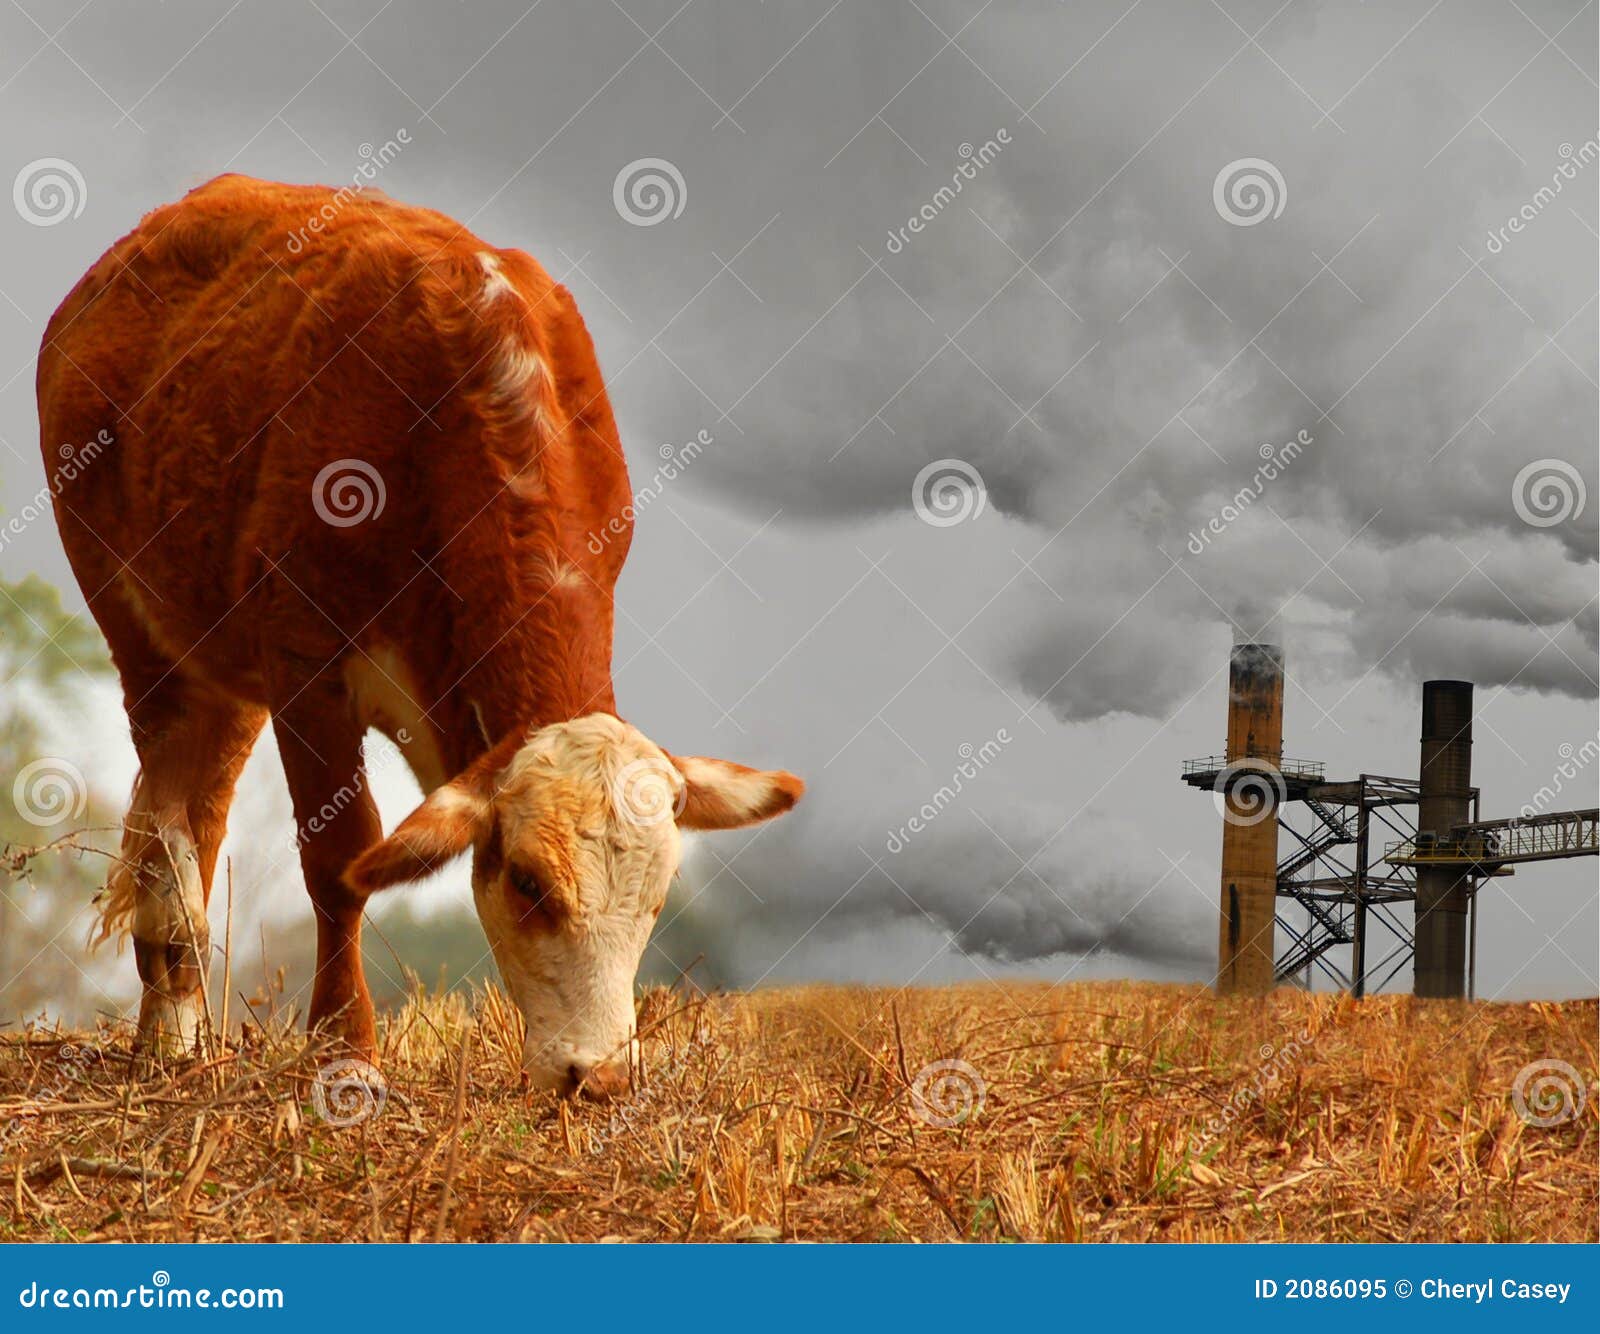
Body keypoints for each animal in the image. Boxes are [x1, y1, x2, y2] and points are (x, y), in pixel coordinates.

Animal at [36, 174, 803, 1099]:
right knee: (171, 807)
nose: (599, 1078)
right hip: (143, 636)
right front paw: (346, 1052)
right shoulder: (305, 664)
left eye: (656, 895)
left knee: (202, 801)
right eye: (529, 883)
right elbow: (339, 858)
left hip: (228, 672)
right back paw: (168, 1029)